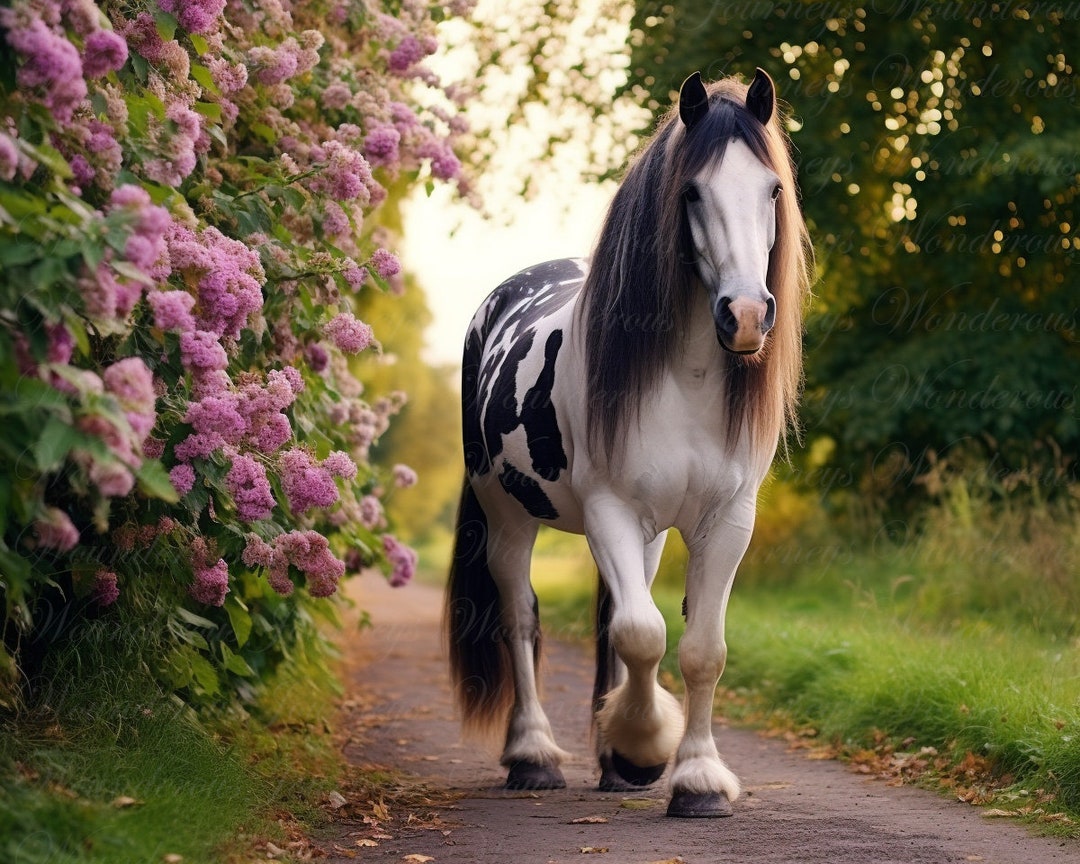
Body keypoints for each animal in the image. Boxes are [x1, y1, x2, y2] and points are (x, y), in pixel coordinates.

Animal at [446, 68, 812, 818]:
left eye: (772, 190)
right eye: (691, 191)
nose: (746, 316)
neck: (685, 377)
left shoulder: (725, 519)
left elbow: (700, 648)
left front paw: (694, 777)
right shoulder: (610, 510)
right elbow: (643, 633)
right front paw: (644, 747)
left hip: (646, 532)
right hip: (506, 516)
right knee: (520, 618)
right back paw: (533, 755)